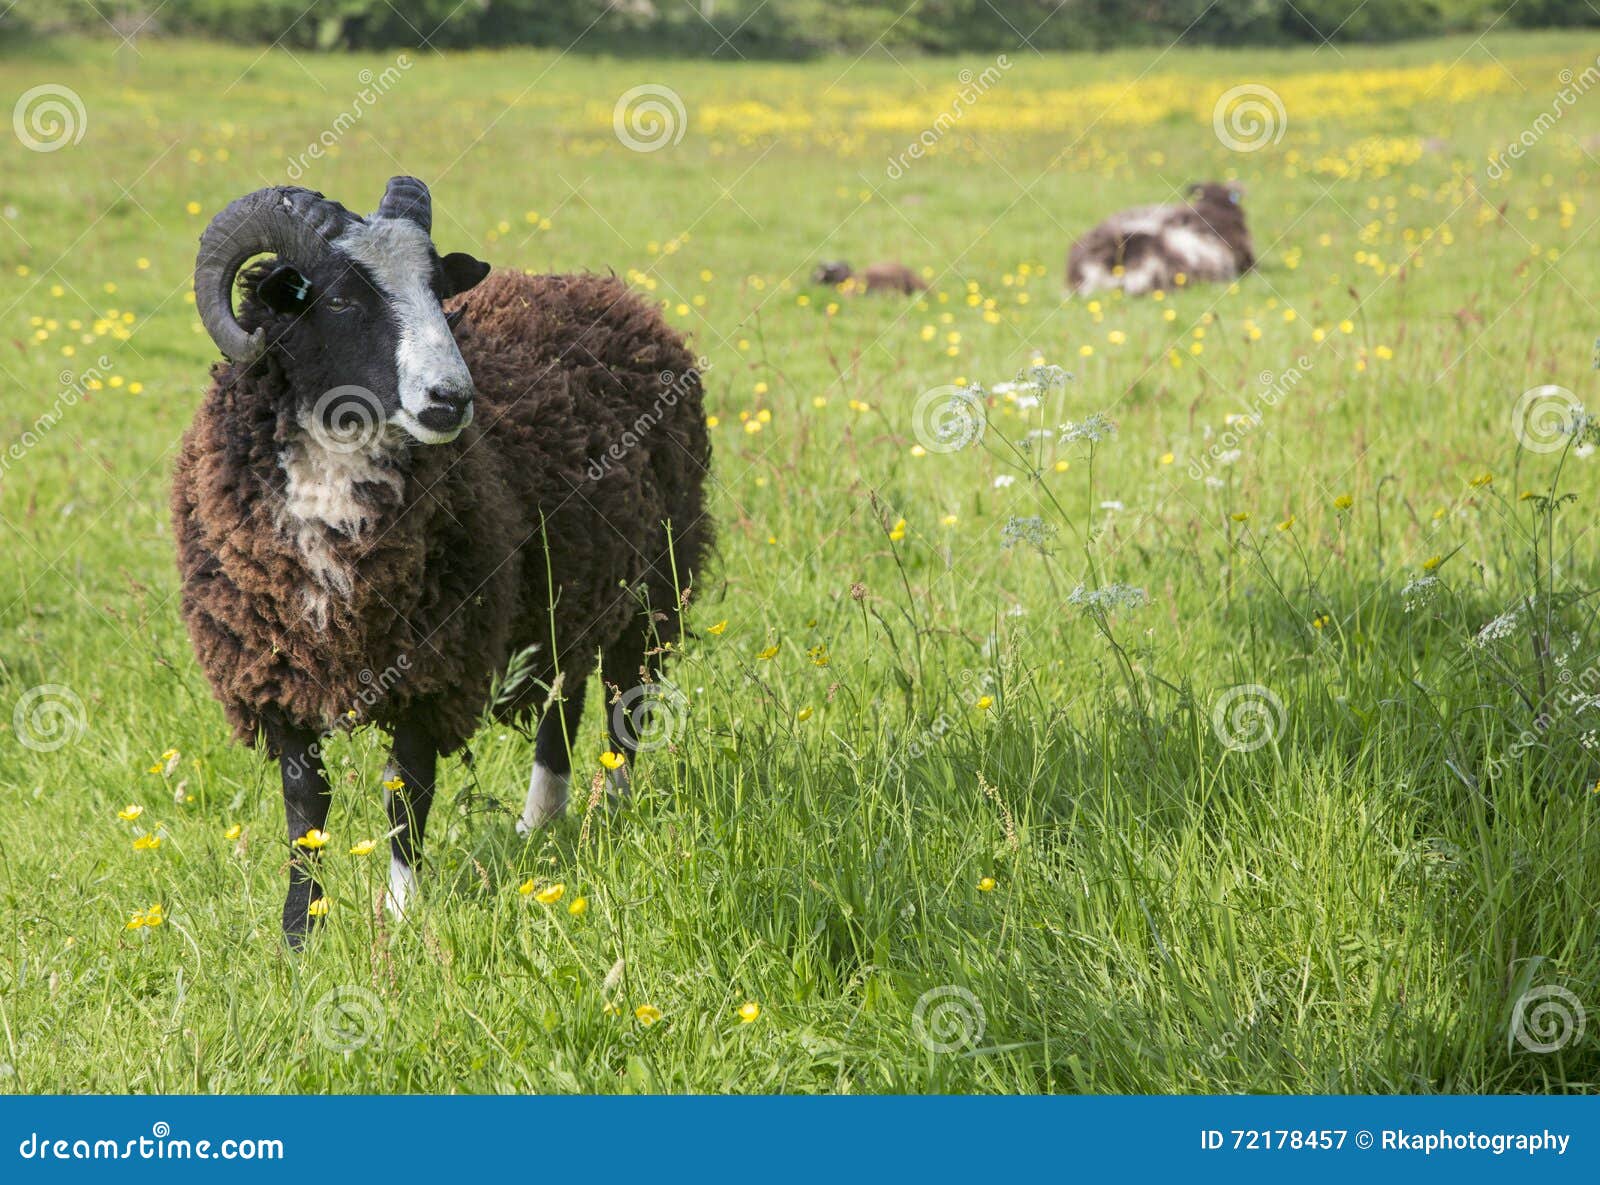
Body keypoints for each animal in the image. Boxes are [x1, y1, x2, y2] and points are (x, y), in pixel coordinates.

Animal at [172, 177, 711, 943]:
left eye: (436, 289)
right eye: (340, 299)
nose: (451, 399)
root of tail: (605, 288)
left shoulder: (434, 657)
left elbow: (408, 790)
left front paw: (400, 914)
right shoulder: (275, 667)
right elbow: (305, 806)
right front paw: (300, 932)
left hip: (656, 579)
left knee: (622, 698)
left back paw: (613, 809)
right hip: (573, 580)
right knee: (566, 692)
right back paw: (541, 822)